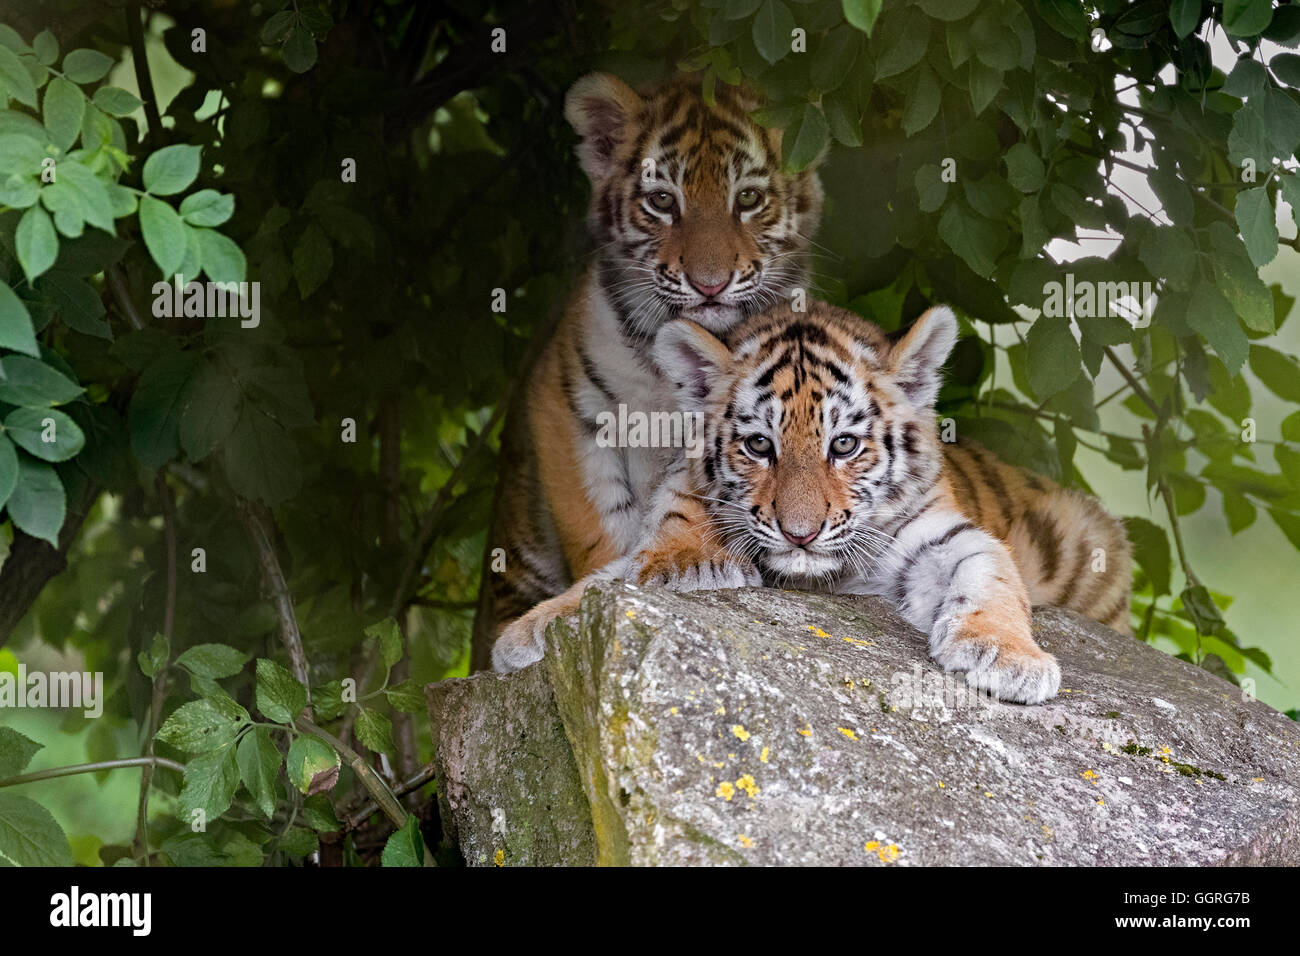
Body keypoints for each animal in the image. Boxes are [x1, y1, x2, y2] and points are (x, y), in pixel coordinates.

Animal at [471, 72, 824, 671]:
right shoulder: (566, 406)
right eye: (662, 201)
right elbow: (598, 522)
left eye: (748, 199)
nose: (710, 285)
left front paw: (688, 562)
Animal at [493, 299, 1132, 706]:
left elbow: (992, 574)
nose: (799, 532)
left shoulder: (939, 534)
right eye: (759, 445)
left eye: (843, 444)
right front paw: (524, 634)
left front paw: (1010, 658)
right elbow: (612, 576)